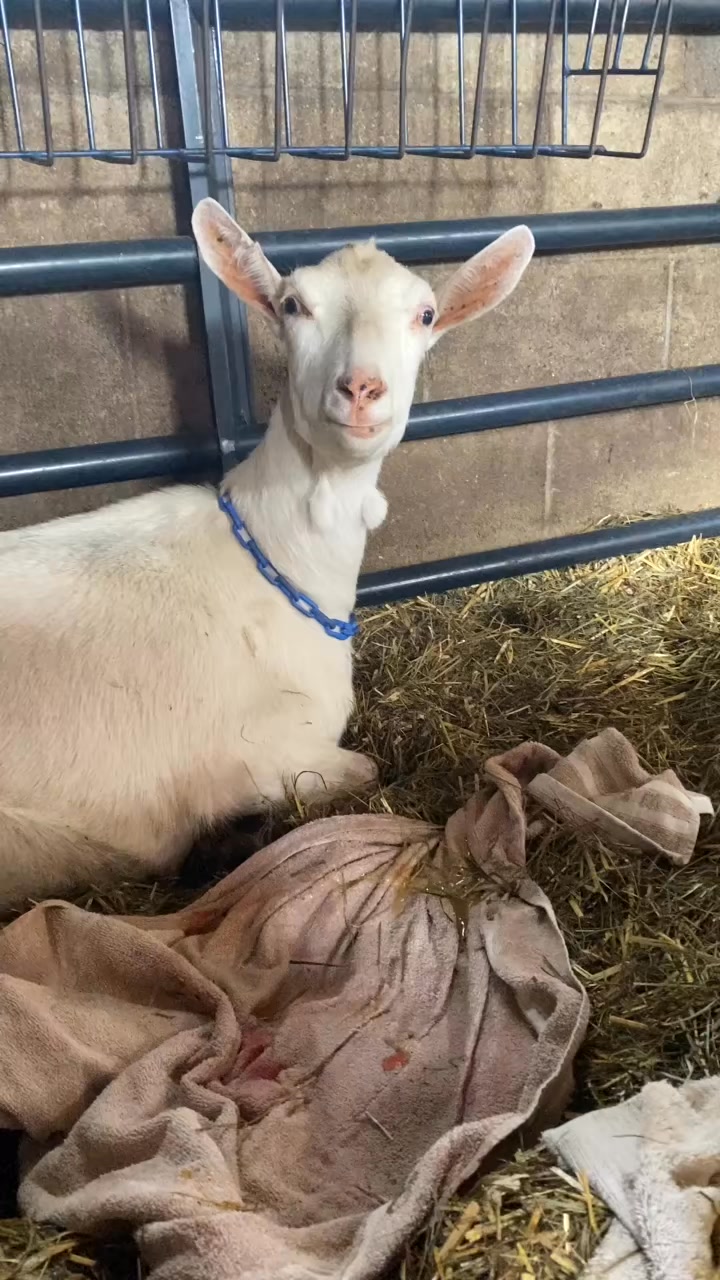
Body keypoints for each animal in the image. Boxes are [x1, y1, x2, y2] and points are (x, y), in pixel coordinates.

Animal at [0, 200, 534, 907]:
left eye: (425, 314)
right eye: (291, 305)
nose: (360, 387)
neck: (273, 558)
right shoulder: (265, 753)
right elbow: (364, 766)